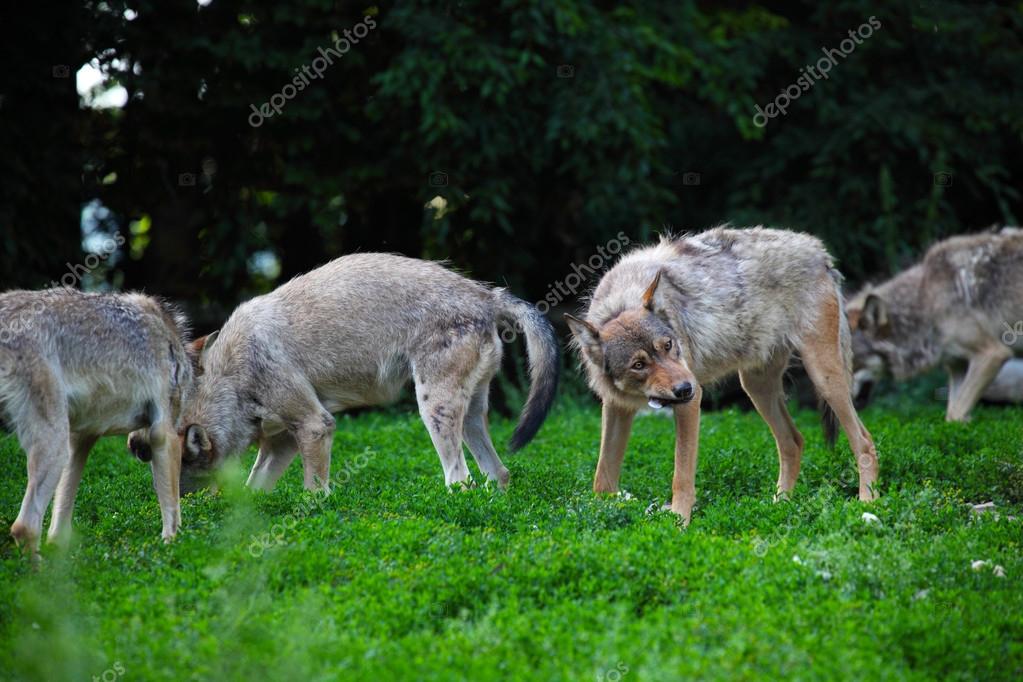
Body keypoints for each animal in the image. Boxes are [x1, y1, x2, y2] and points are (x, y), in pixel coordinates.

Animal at [0, 289, 195, 553]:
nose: (137, 448)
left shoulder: (81, 438)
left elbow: (59, 523)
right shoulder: (164, 435)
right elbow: (172, 513)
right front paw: (171, 548)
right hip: (55, 448)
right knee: (24, 526)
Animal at [174, 253, 559, 494]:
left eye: (175, 471)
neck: (233, 379)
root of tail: (487, 295)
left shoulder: (316, 425)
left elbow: (313, 493)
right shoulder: (283, 440)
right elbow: (254, 490)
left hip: (433, 410)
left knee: (461, 480)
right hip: (469, 418)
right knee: (499, 474)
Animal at [566, 226, 879, 524]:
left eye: (667, 345)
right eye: (639, 365)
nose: (685, 388)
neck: (621, 300)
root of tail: (818, 250)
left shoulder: (690, 405)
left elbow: (681, 477)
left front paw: (678, 523)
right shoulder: (616, 407)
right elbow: (602, 478)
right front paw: (600, 514)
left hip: (824, 377)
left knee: (864, 441)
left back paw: (867, 504)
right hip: (756, 388)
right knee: (793, 442)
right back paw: (780, 506)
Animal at [847, 228, 1023, 422]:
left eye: (850, 361)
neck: (927, 302)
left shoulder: (993, 354)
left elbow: (956, 414)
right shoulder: (957, 365)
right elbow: (952, 415)